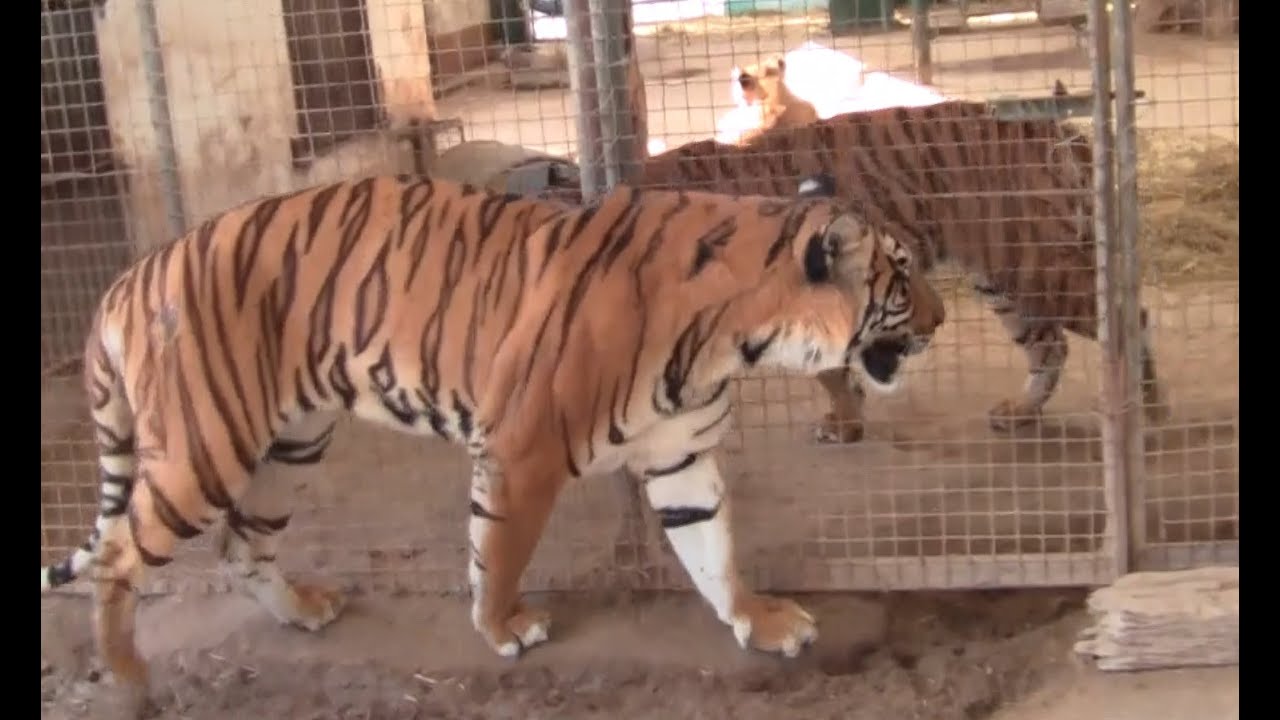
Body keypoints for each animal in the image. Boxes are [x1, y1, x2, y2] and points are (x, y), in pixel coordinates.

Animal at [39, 173, 946, 717]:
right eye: (903, 278)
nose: (941, 323)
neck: (741, 335)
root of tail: (127, 277)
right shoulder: (523, 449)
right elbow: (500, 548)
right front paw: (503, 627)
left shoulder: (680, 454)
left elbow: (712, 548)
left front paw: (758, 621)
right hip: (205, 449)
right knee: (120, 555)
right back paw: (127, 678)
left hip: (289, 447)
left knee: (240, 548)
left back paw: (302, 612)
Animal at [639, 100, 1171, 444]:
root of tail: (1060, 132)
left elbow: (829, 374)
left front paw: (845, 425)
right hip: (1004, 279)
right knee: (1050, 346)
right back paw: (1021, 413)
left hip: (1038, 268)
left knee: (1127, 318)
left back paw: (1147, 410)